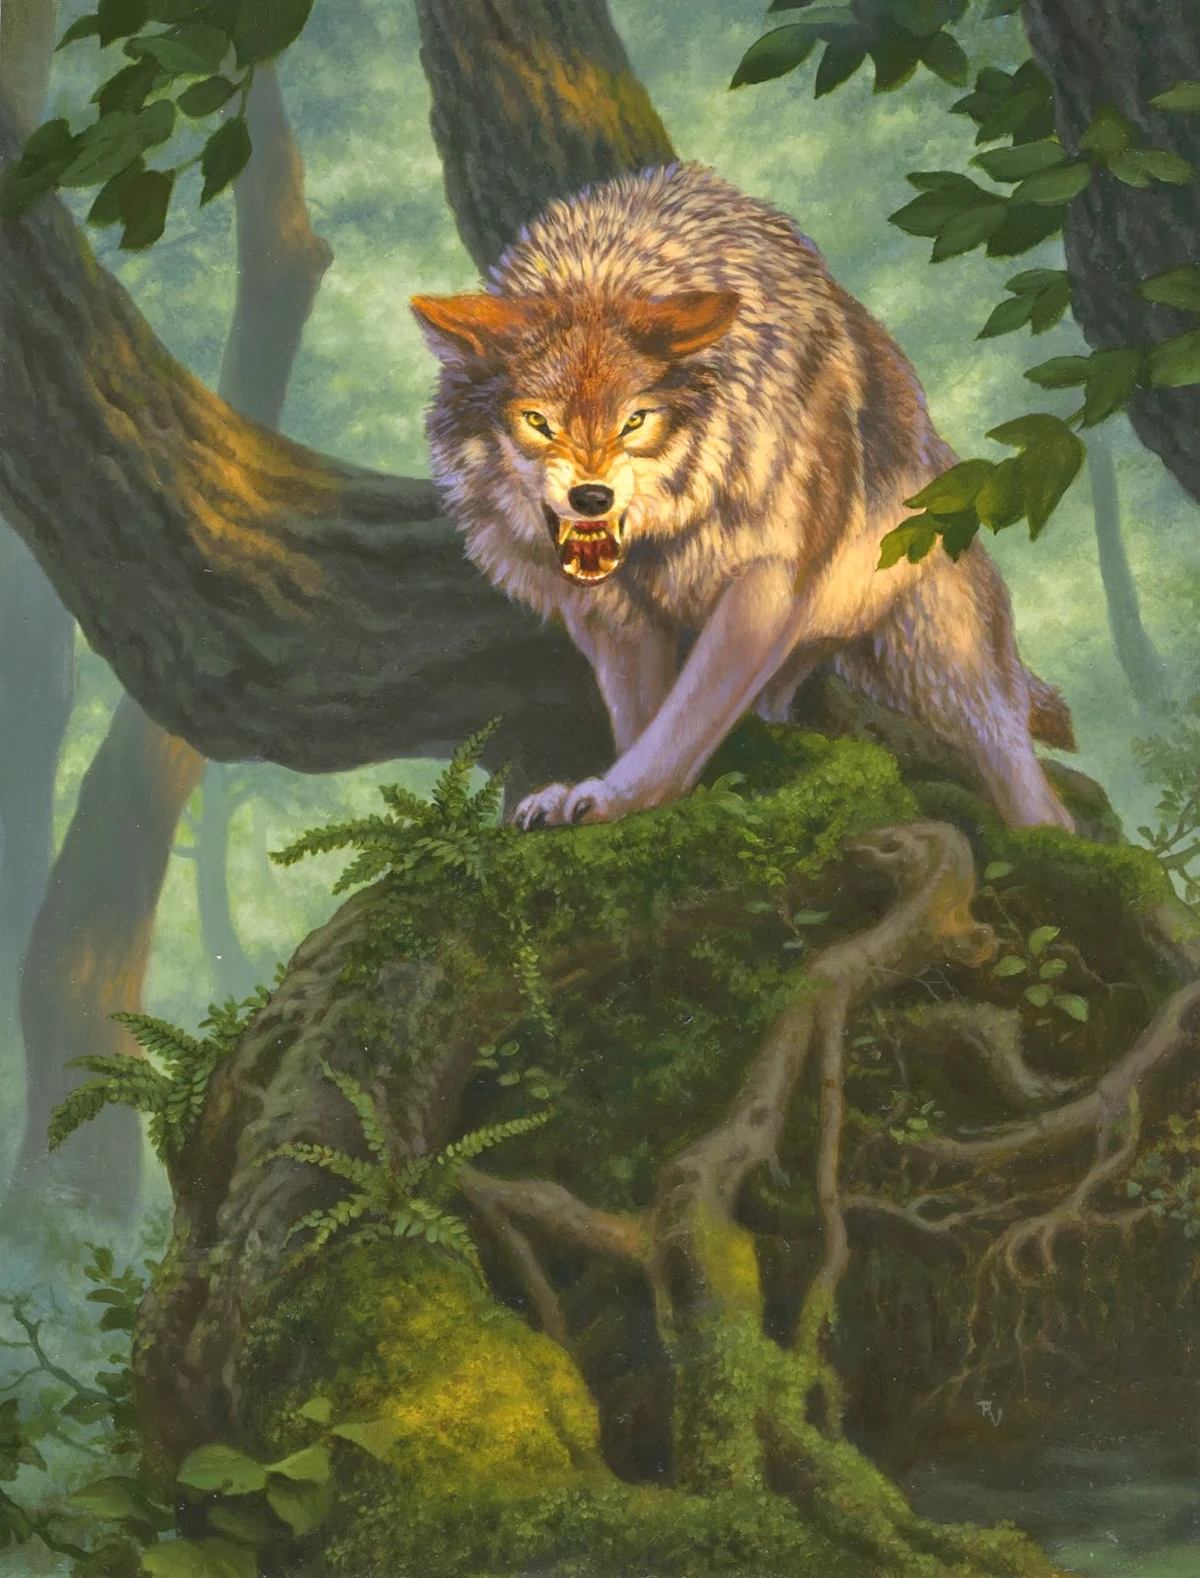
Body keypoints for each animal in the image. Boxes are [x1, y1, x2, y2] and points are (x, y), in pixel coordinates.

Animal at [412, 162, 1075, 833]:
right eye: (538, 422)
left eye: (635, 421)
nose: (591, 497)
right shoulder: (615, 616)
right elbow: (643, 717)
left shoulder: (766, 580)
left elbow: (685, 720)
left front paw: (620, 796)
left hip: (945, 673)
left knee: (1032, 787)